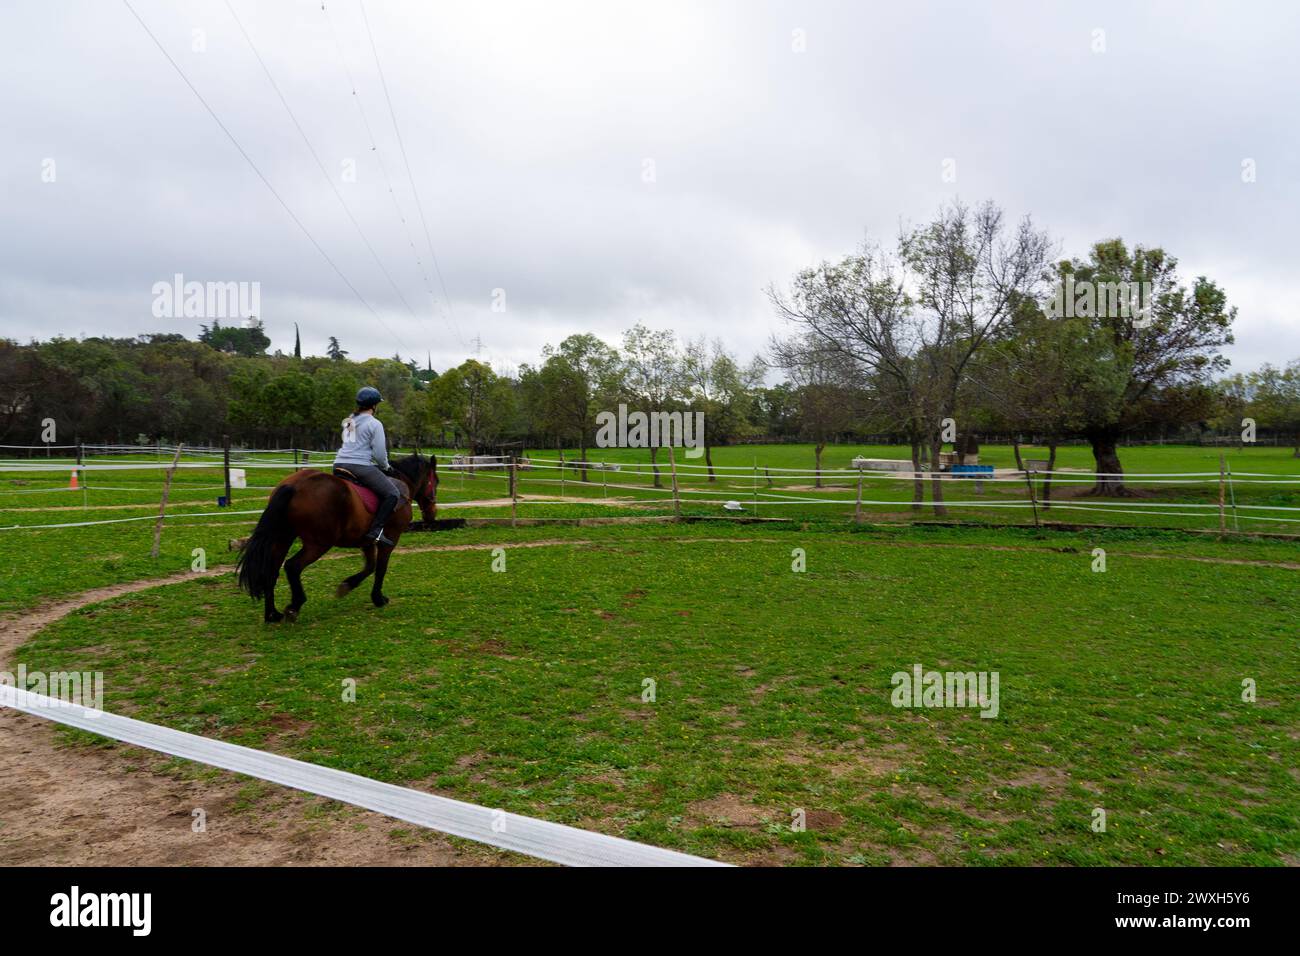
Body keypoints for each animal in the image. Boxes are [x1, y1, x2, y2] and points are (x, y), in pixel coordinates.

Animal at [236, 453, 438, 622]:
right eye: (436, 481)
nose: (431, 514)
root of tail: (294, 486)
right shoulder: (390, 537)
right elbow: (380, 568)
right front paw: (378, 598)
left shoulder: (366, 540)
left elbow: (370, 566)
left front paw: (347, 585)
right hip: (318, 544)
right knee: (292, 566)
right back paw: (294, 606)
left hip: (282, 538)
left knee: (271, 571)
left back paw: (272, 614)